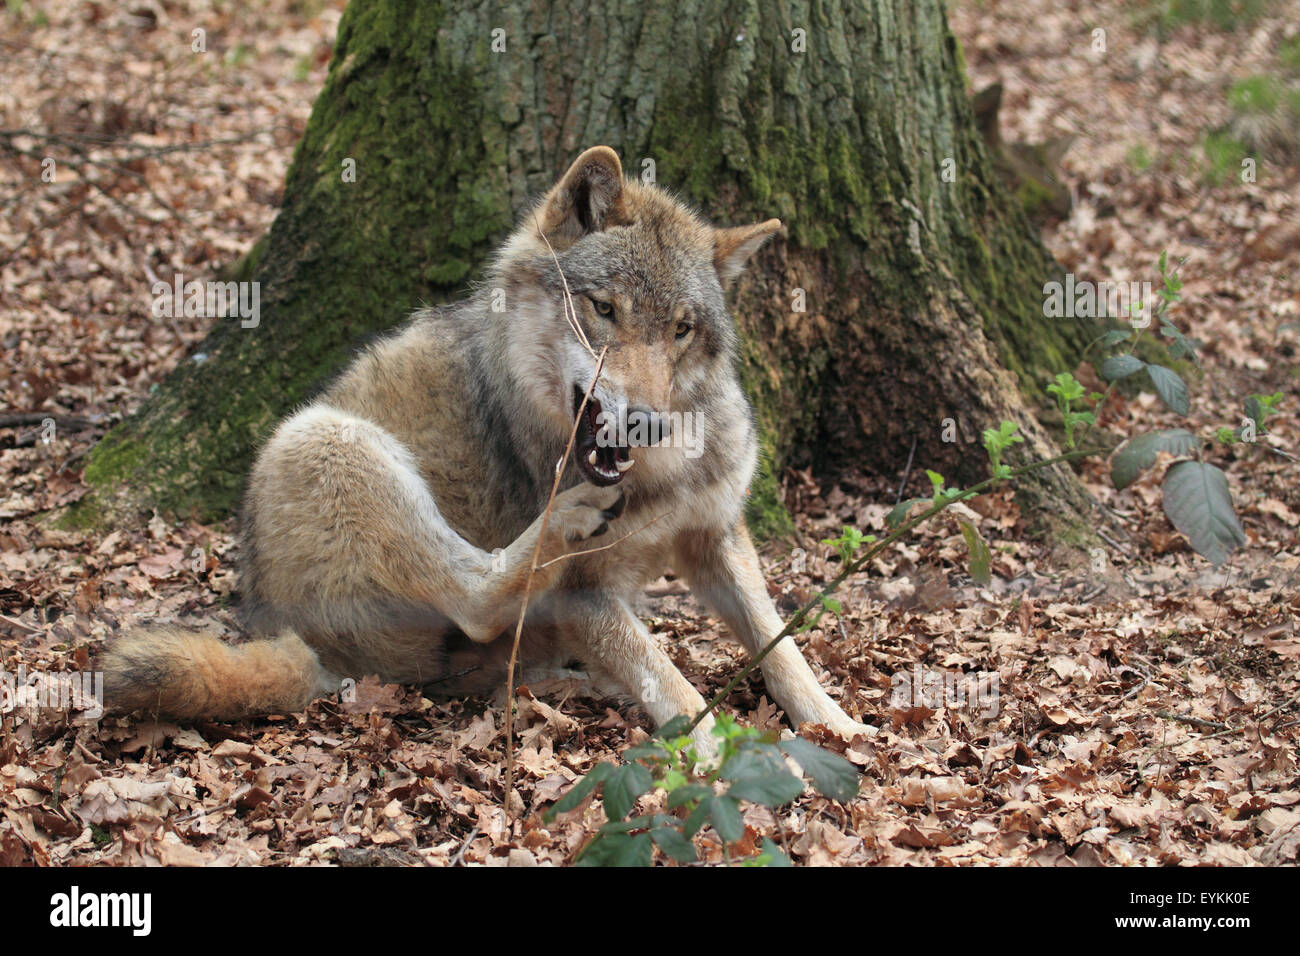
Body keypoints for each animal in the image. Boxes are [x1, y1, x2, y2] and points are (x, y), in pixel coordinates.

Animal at [102, 146, 873, 751]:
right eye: (603, 310)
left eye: (682, 329)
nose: (648, 423)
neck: (661, 475)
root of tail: (281, 627)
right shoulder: (585, 597)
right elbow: (675, 684)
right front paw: (735, 763)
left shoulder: (717, 537)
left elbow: (782, 644)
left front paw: (839, 727)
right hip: (328, 438)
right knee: (478, 596)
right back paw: (569, 530)